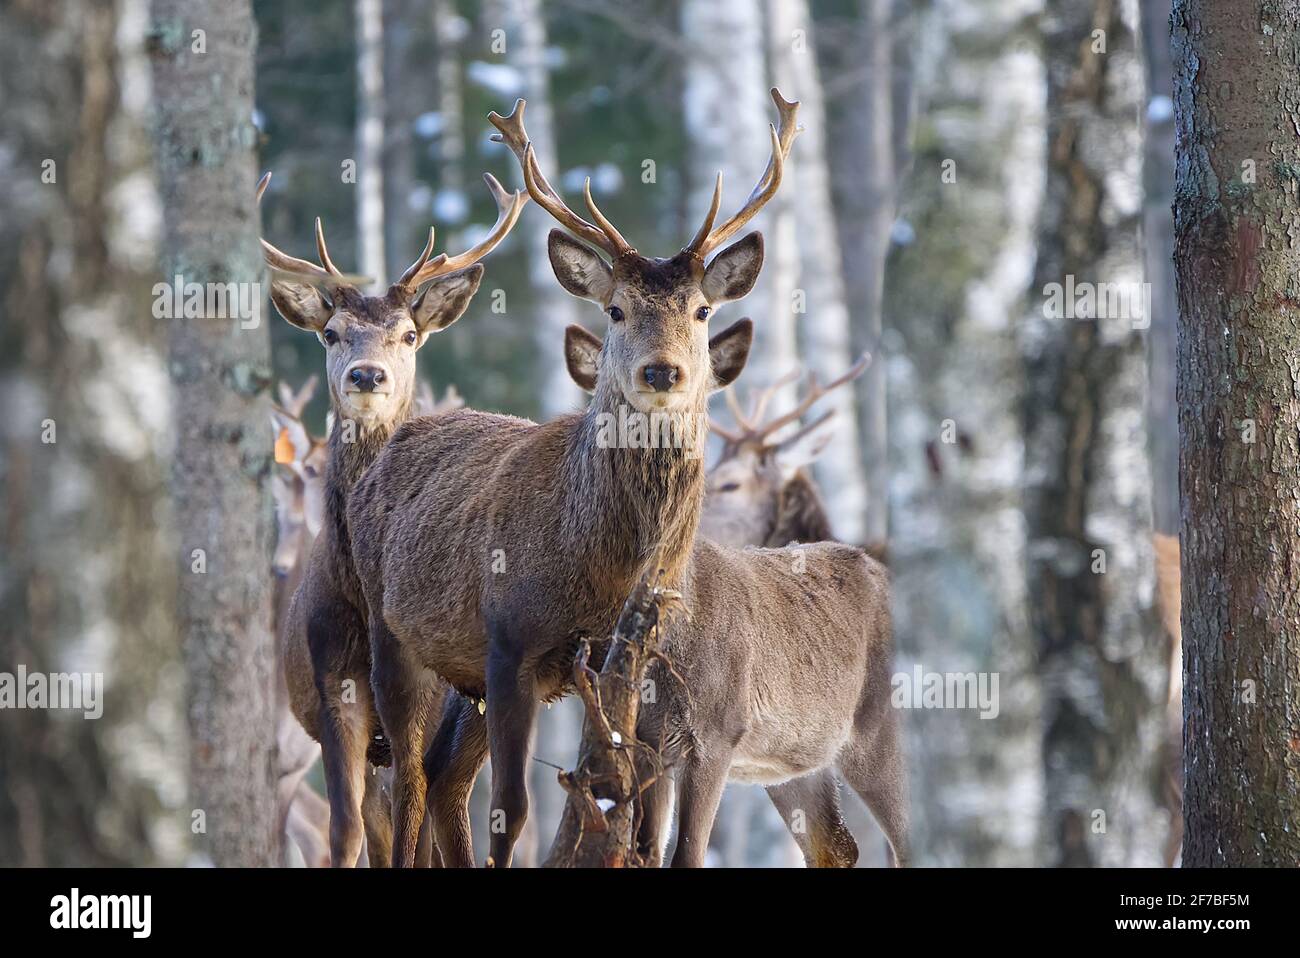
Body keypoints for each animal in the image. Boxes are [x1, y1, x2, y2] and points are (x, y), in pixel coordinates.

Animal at [261, 169, 526, 867]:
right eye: (331, 333)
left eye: (408, 334)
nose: (367, 374)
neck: (357, 594)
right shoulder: (334, 686)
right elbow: (345, 830)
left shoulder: (426, 701)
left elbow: (414, 809)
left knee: (444, 804)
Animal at [347, 89, 800, 868]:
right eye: (615, 310)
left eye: (702, 310)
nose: (662, 372)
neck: (601, 562)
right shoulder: (508, 641)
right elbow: (513, 808)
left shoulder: (638, 663)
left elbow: (639, 819)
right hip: (392, 629)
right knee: (407, 779)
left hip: (462, 674)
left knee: (441, 778)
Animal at [563, 333, 907, 867]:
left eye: (730, 484)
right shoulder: (648, 743)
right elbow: (648, 852)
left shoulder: (718, 731)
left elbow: (688, 855)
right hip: (795, 759)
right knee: (837, 846)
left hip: (879, 730)